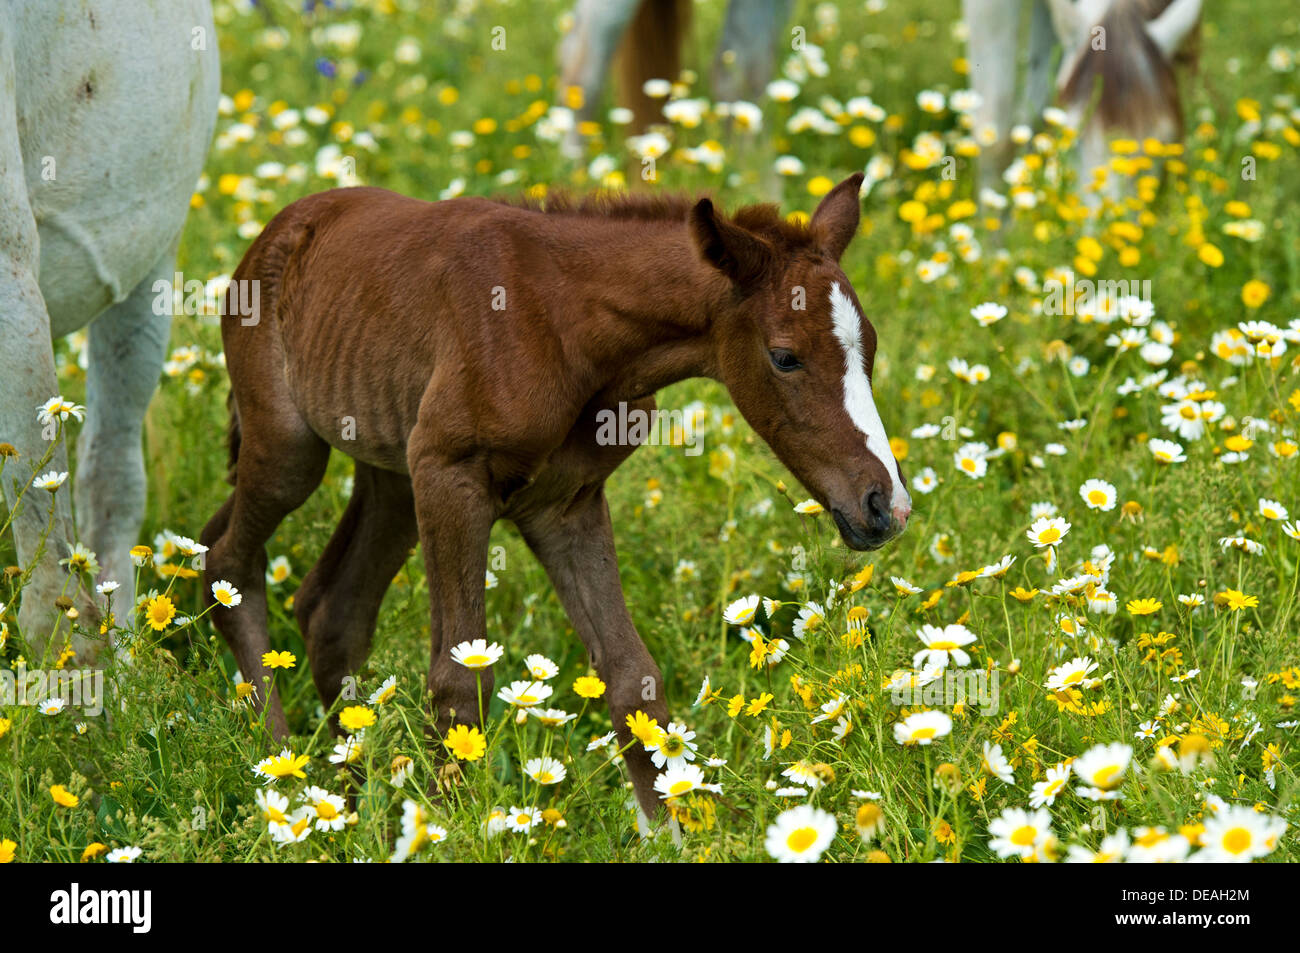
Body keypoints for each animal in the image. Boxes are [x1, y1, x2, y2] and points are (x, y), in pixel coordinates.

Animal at [199, 172, 911, 818]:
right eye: (785, 357)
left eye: (871, 347)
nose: (886, 506)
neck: (567, 326)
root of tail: (276, 232)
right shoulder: (451, 476)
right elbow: (459, 681)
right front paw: (449, 829)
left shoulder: (565, 503)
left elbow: (632, 676)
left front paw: (674, 832)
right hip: (292, 450)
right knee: (226, 558)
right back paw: (281, 774)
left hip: (393, 474)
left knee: (332, 609)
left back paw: (347, 794)